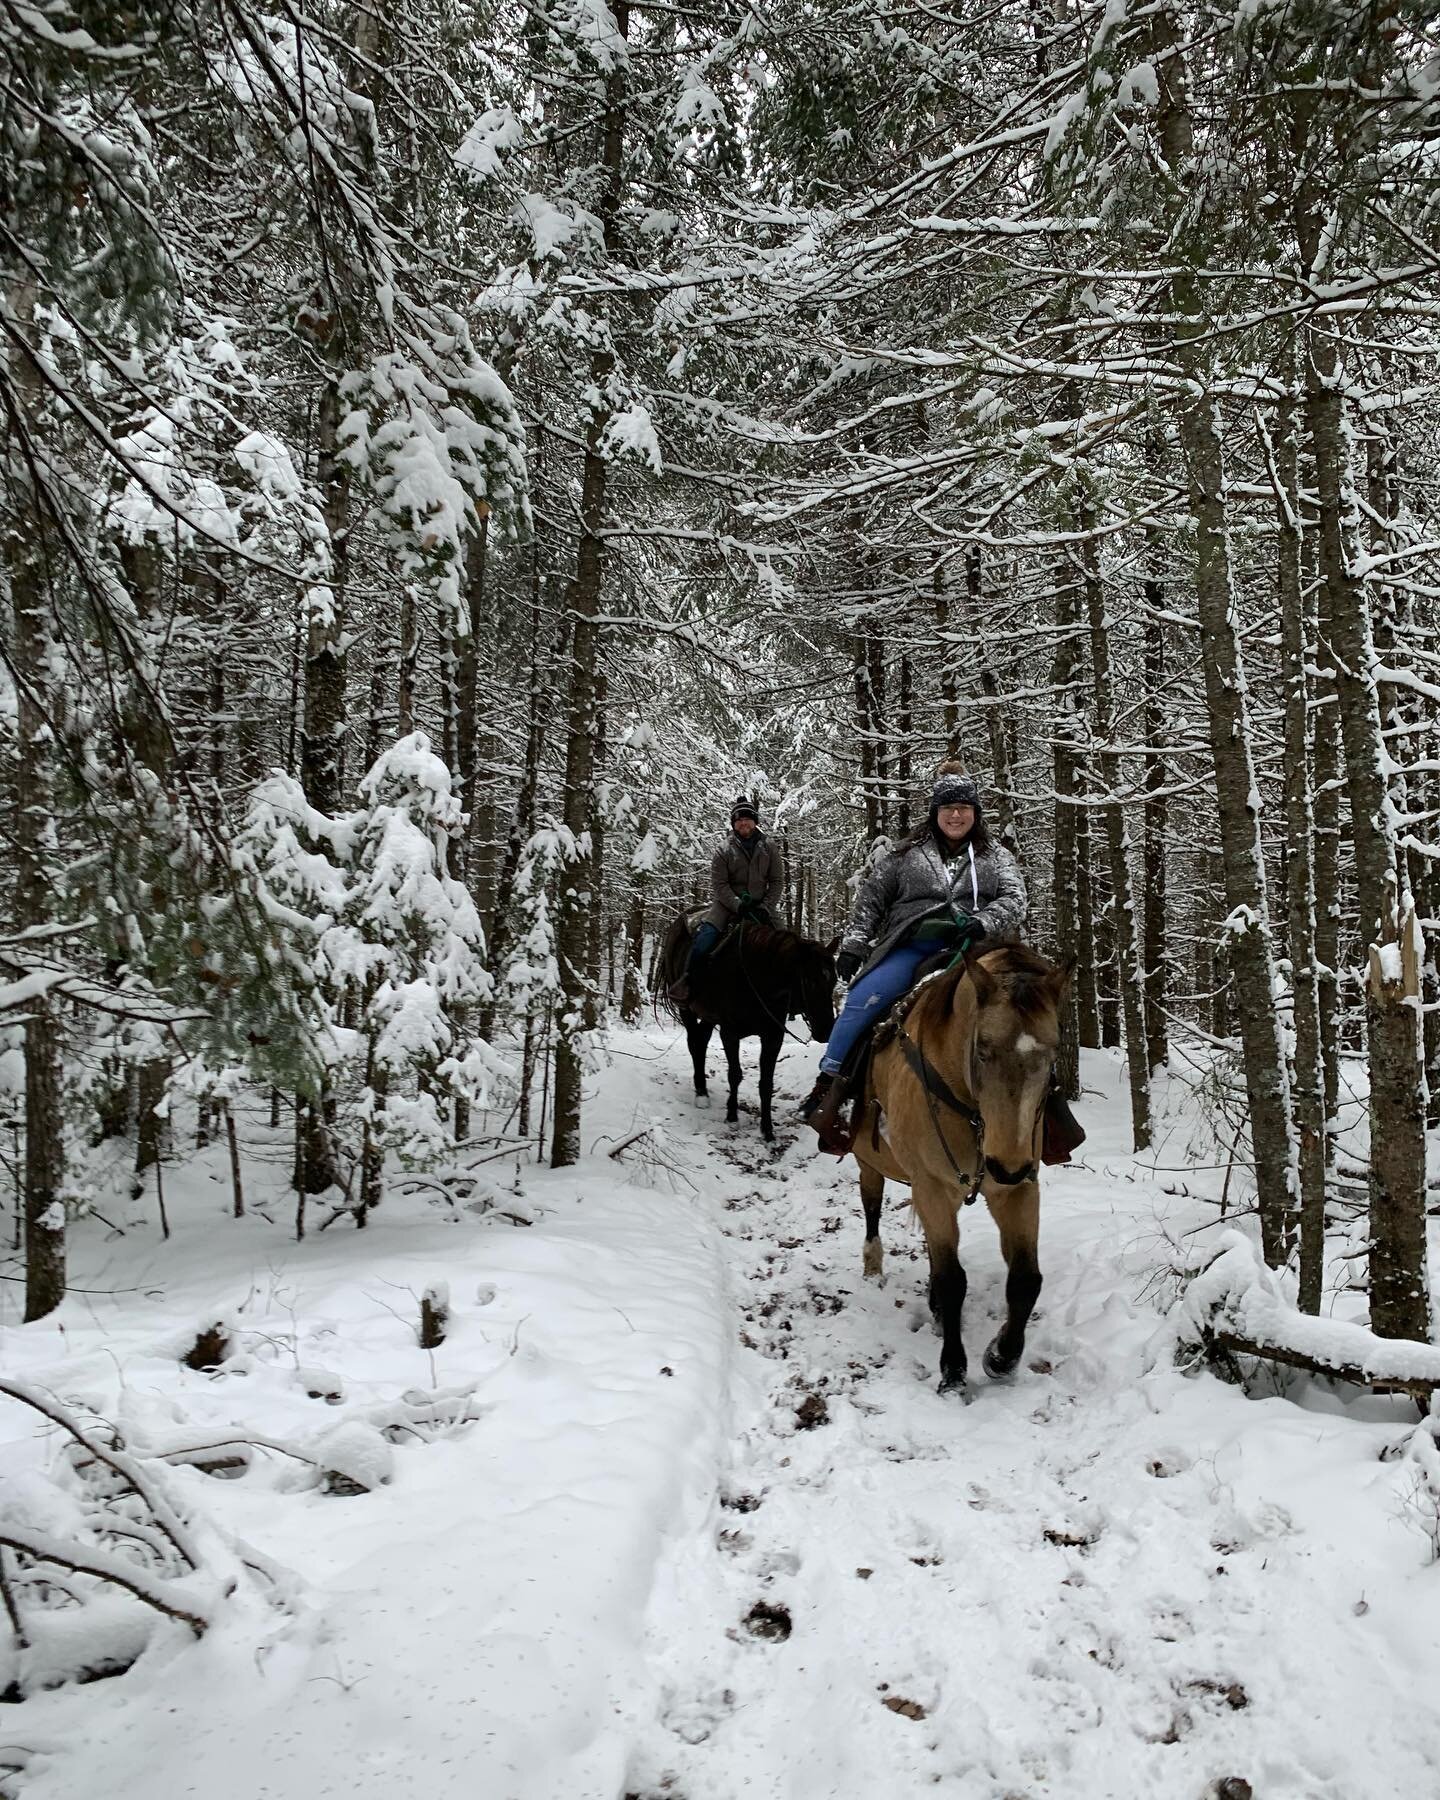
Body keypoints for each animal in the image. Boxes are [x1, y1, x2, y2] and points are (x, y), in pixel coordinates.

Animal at [659, 915, 838, 1142]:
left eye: (833, 981)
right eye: (809, 980)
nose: (826, 1030)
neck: (757, 978)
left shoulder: (773, 1037)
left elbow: (766, 1083)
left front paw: (767, 1130)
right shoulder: (729, 1033)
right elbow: (735, 1074)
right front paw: (732, 1116)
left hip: (708, 1017)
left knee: (702, 1041)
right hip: (686, 1008)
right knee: (693, 1043)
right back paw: (701, 1092)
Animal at [852, 943, 1073, 1396]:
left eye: (1051, 1053)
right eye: (983, 1050)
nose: (1004, 1165)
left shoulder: (1019, 1190)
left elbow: (1025, 1278)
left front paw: (1002, 1358)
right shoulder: (932, 1187)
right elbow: (953, 1280)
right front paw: (953, 1371)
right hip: (871, 1163)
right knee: (872, 1205)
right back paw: (873, 1264)